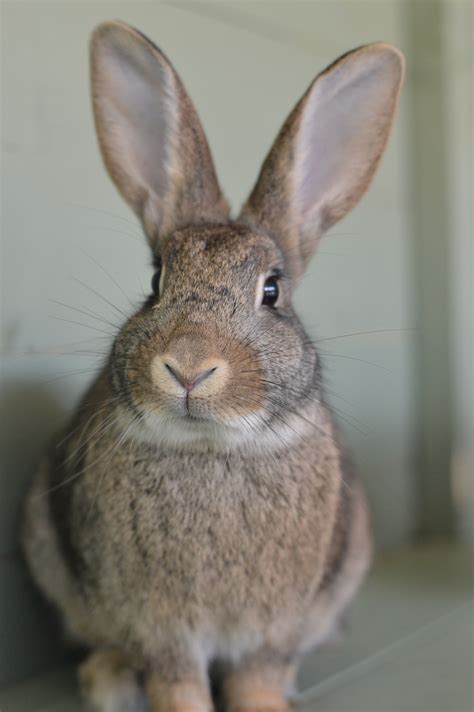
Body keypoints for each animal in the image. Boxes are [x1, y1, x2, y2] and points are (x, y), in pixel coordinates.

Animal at [22, 20, 404, 712]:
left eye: (272, 291)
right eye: (155, 282)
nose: (189, 366)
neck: (211, 447)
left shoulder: (272, 630)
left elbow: (256, 679)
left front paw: (271, 703)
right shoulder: (160, 629)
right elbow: (176, 684)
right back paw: (107, 681)